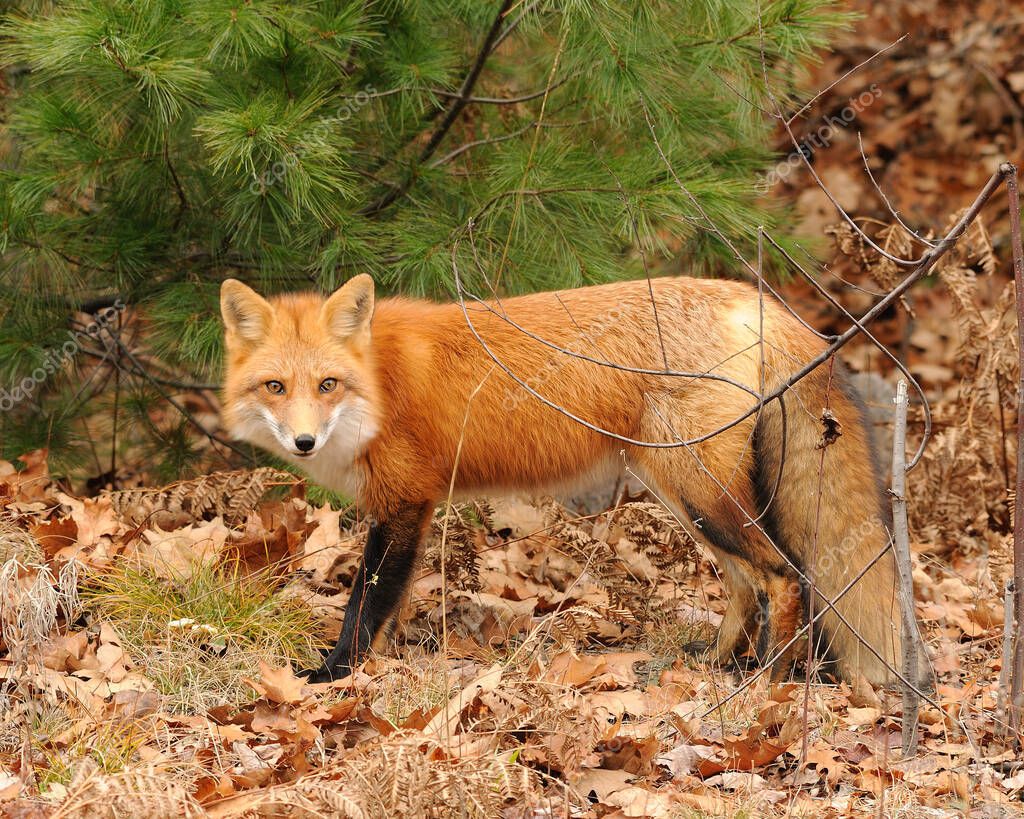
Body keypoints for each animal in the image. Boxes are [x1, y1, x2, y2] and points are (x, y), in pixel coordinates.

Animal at [220, 273, 913, 687]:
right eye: (275, 387)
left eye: (327, 385)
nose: (303, 441)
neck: (378, 387)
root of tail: (760, 300)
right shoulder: (409, 509)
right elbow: (390, 607)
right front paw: (379, 672)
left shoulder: (404, 500)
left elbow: (365, 604)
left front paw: (334, 677)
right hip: (680, 489)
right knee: (748, 584)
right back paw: (714, 667)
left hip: (698, 490)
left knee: (783, 576)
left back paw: (764, 686)